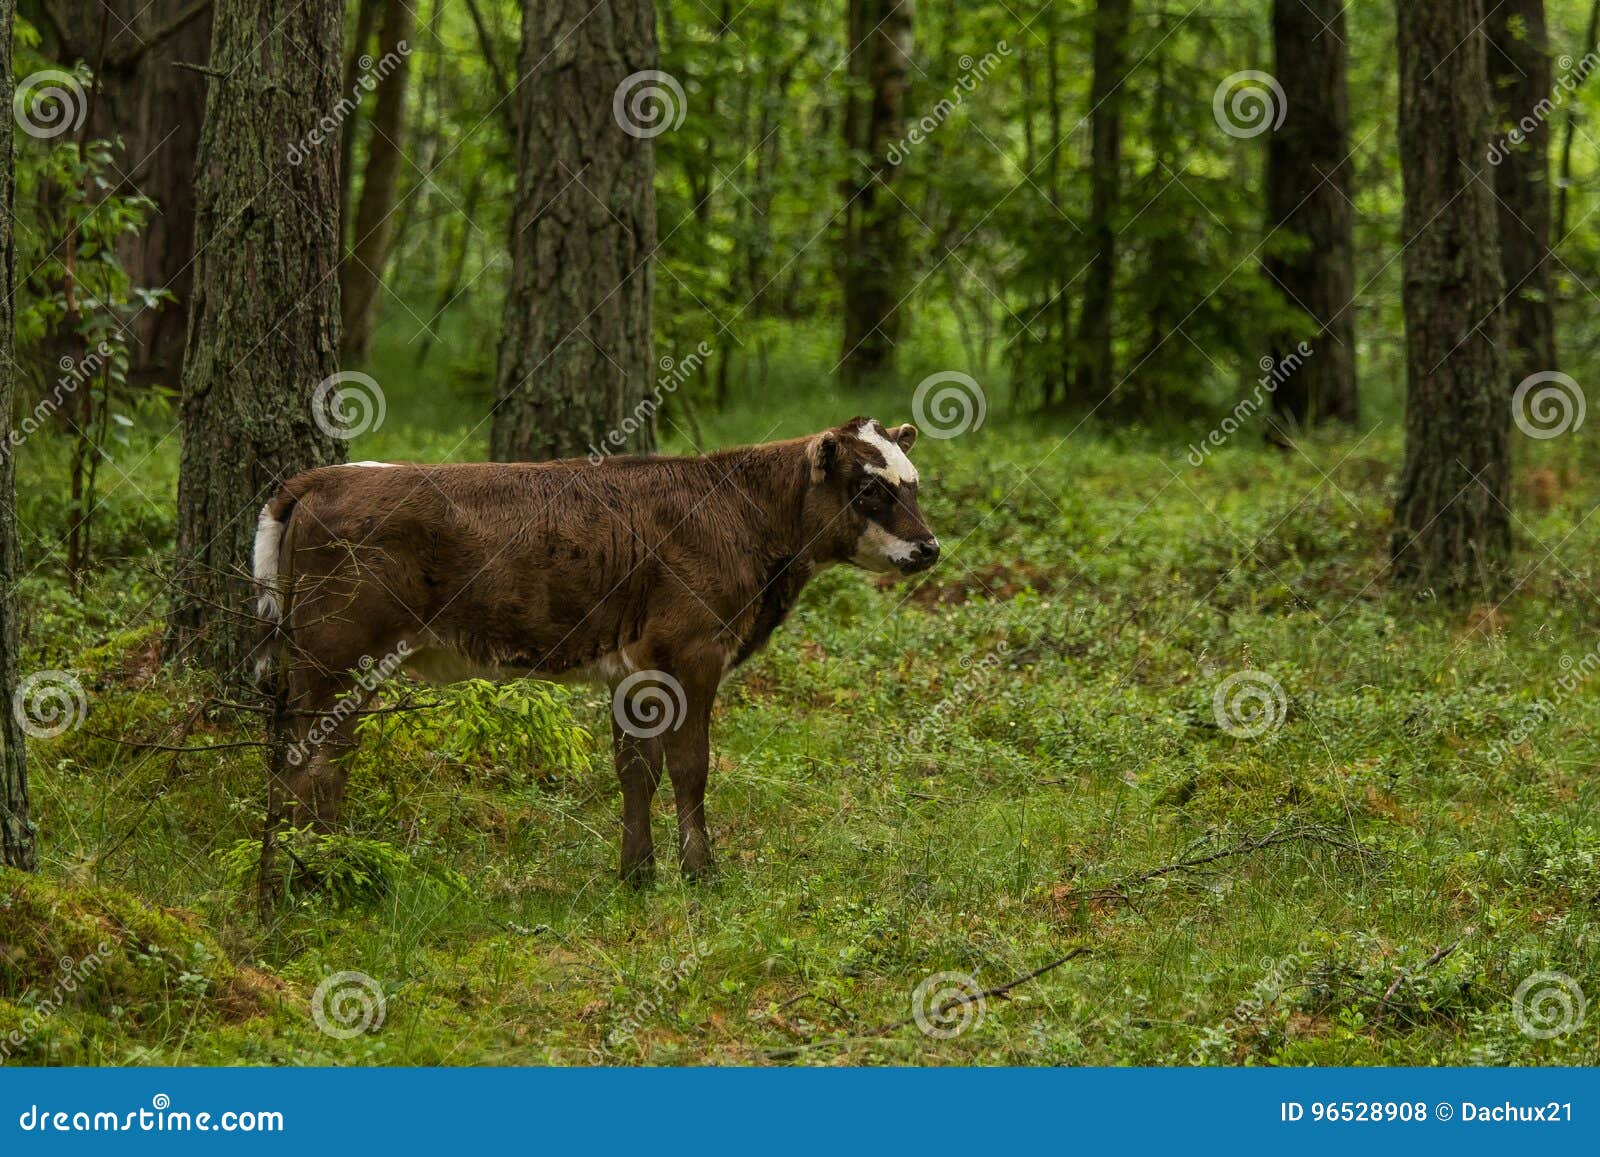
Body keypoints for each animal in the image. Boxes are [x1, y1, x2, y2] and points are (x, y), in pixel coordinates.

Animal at [252, 417, 940, 883]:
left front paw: (637, 873)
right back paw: (299, 876)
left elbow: (636, 769)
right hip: (332, 658)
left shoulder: (633, 669)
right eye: (869, 489)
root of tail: (324, 476)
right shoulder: (691, 653)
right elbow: (691, 766)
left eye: (913, 485)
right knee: (305, 760)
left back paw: (322, 863)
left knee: (316, 759)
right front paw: (701, 872)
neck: (741, 517)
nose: (929, 548)